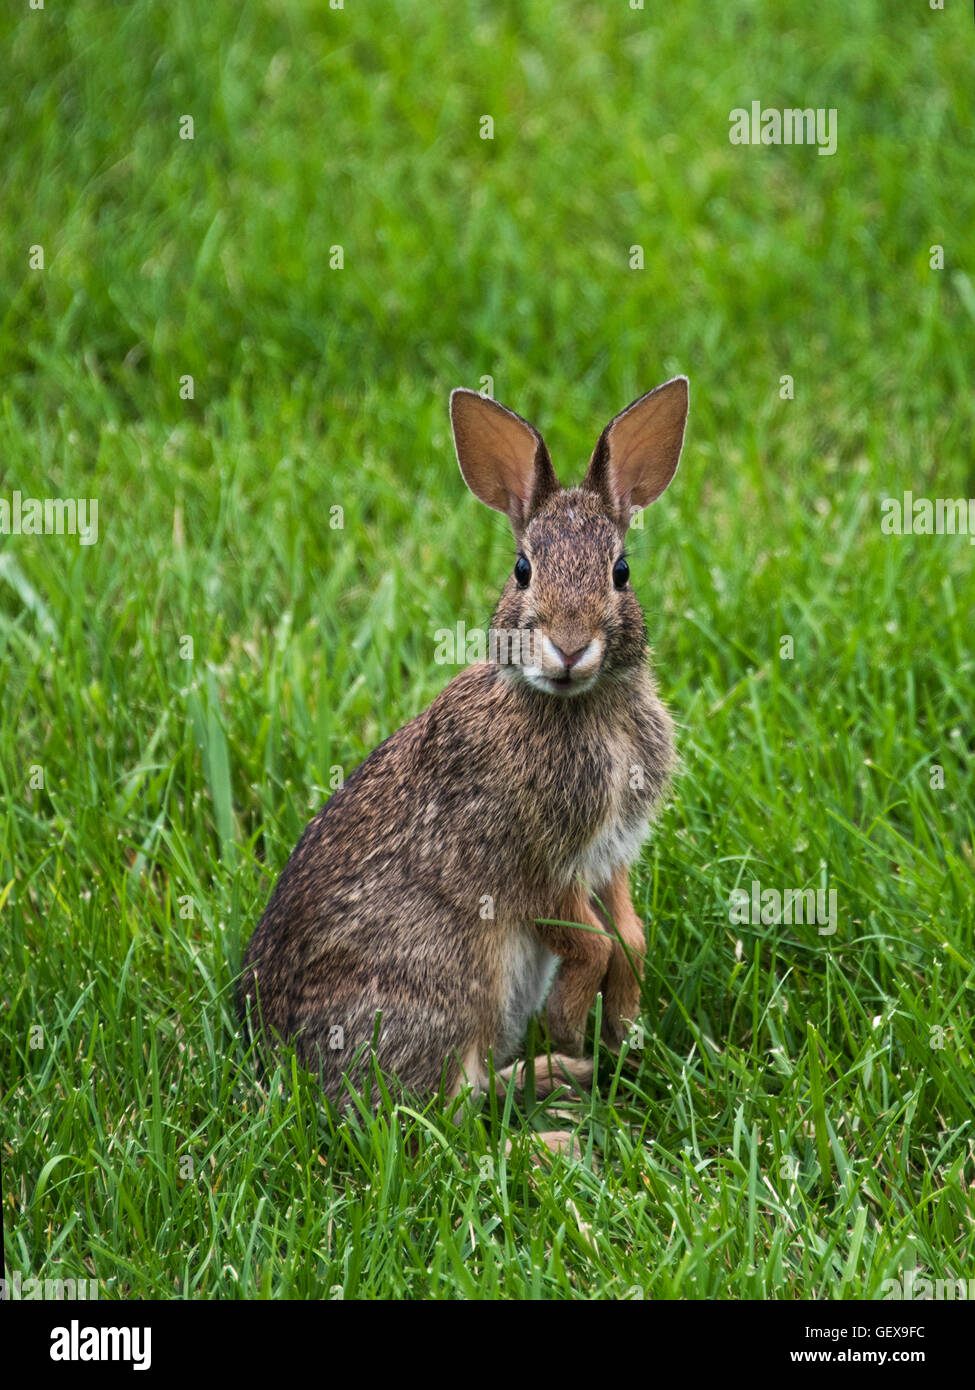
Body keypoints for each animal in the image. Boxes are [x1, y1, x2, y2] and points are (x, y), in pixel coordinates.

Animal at [239, 375, 689, 1106]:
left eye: (620, 572)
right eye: (522, 569)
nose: (568, 647)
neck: (579, 704)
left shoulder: (609, 856)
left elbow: (629, 935)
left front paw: (620, 1020)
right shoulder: (535, 865)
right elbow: (589, 941)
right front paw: (574, 1022)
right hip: (448, 986)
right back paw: (559, 1100)